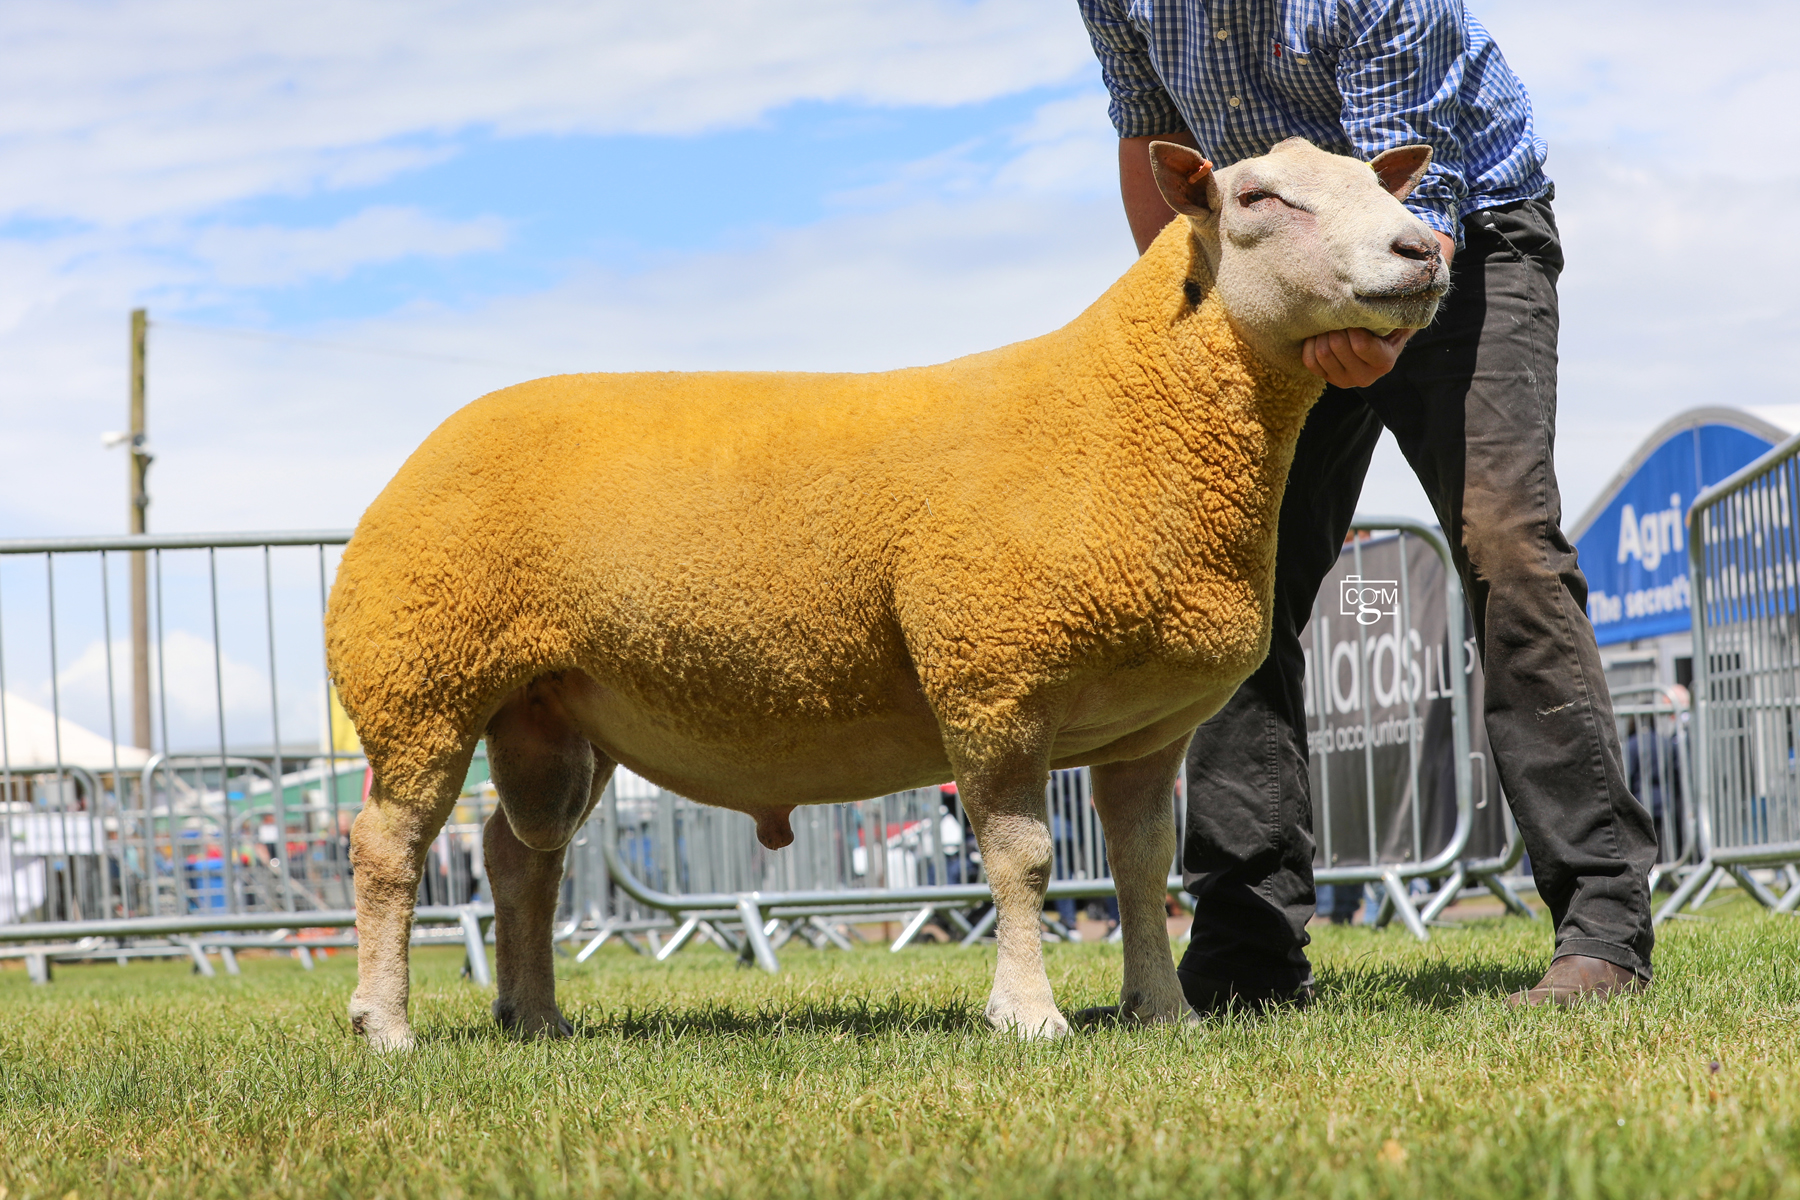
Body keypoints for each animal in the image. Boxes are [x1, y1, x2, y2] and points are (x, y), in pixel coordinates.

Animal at [325, 137, 1448, 1049]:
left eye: (1378, 186)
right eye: (1258, 197)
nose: (1425, 248)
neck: (1118, 413)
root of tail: (423, 451)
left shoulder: (1145, 726)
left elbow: (1140, 868)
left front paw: (1162, 1012)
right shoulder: (993, 678)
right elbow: (1025, 861)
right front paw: (1028, 1016)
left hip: (547, 713)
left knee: (520, 858)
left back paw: (535, 1017)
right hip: (420, 678)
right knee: (388, 849)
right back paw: (386, 1025)